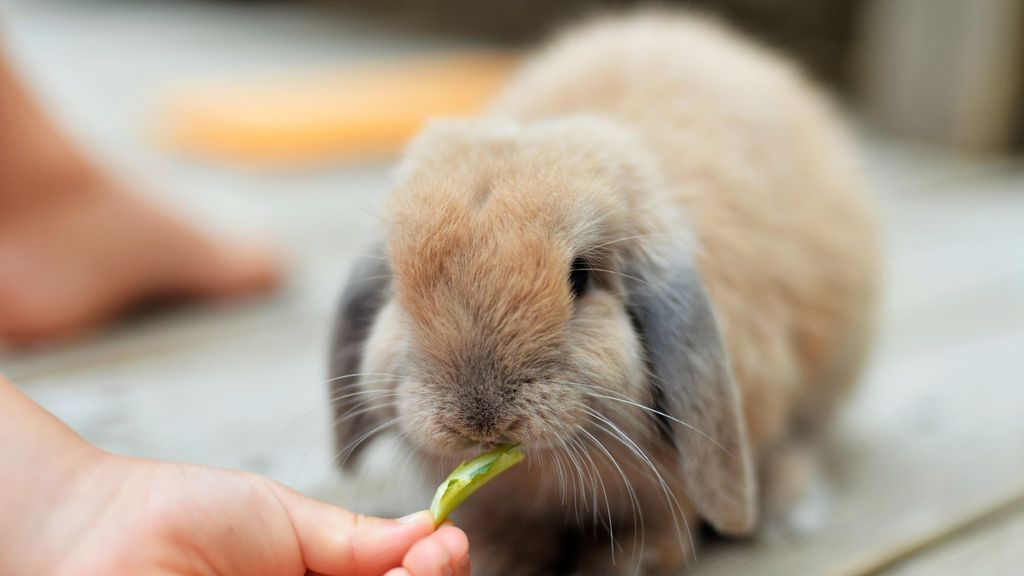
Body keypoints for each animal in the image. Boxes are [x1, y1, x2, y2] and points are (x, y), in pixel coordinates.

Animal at [329, 11, 880, 576]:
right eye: (397, 285)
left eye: (581, 277)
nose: (479, 418)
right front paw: (495, 557)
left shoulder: (668, 491)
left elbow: (657, 527)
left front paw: (628, 561)